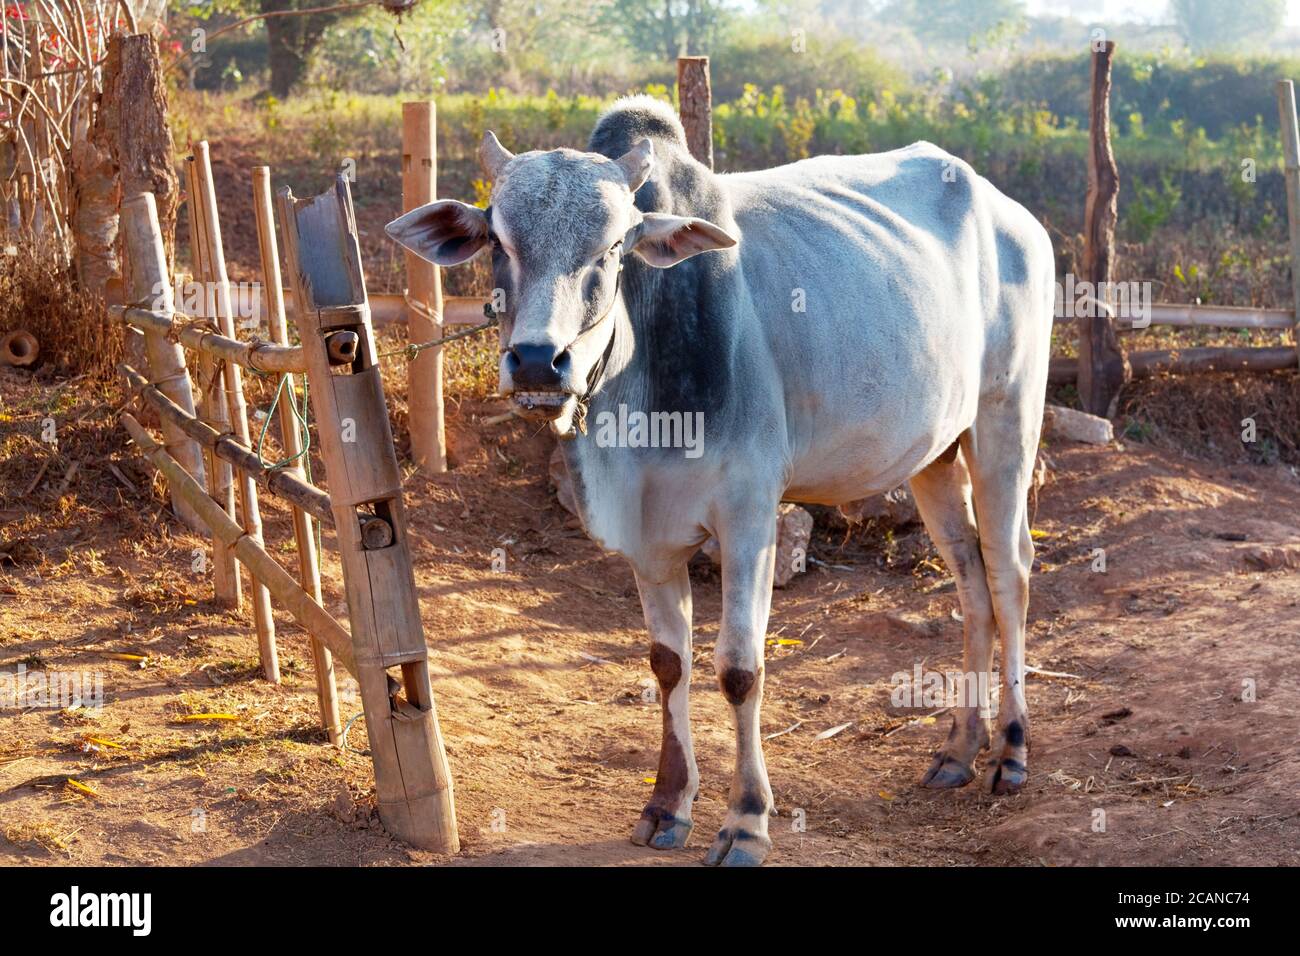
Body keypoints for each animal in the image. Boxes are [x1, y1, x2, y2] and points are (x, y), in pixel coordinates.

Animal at [386, 95, 1054, 866]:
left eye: (614, 247)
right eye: (497, 241)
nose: (535, 362)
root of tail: (1016, 215)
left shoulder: (748, 518)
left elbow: (739, 668)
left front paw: (746, 820)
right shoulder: (647, 538)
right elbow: (666, 662)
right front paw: (666, 805)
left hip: (1007, 417)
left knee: (1009, 573)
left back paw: (1010, 753)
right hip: (935, 455)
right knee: (971, 581)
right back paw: (958, 750)